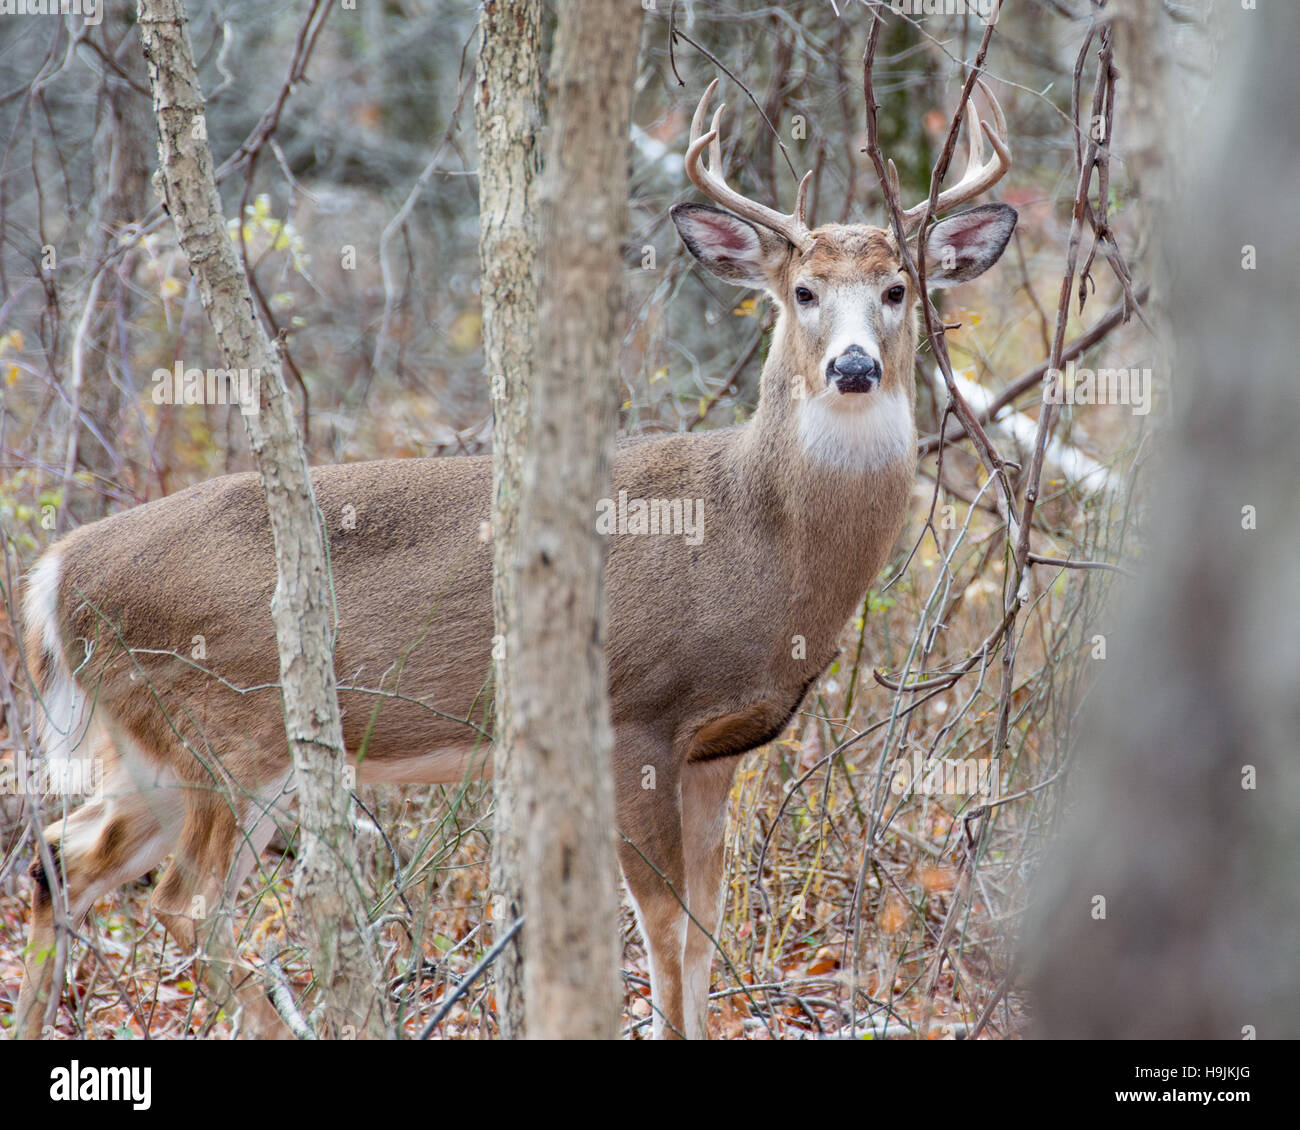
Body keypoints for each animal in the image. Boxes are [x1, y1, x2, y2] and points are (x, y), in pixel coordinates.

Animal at [13, 77, 1015, 1040]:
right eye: (803, 291)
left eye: (897, 289)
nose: (854, 368)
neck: (755, 536)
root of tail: (55, 573)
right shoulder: (632, 713)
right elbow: (659, 927)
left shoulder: (718, 747)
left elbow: (703, 931)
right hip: (228, 727)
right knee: (184, 903)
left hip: (151, 746)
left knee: (61, 858)